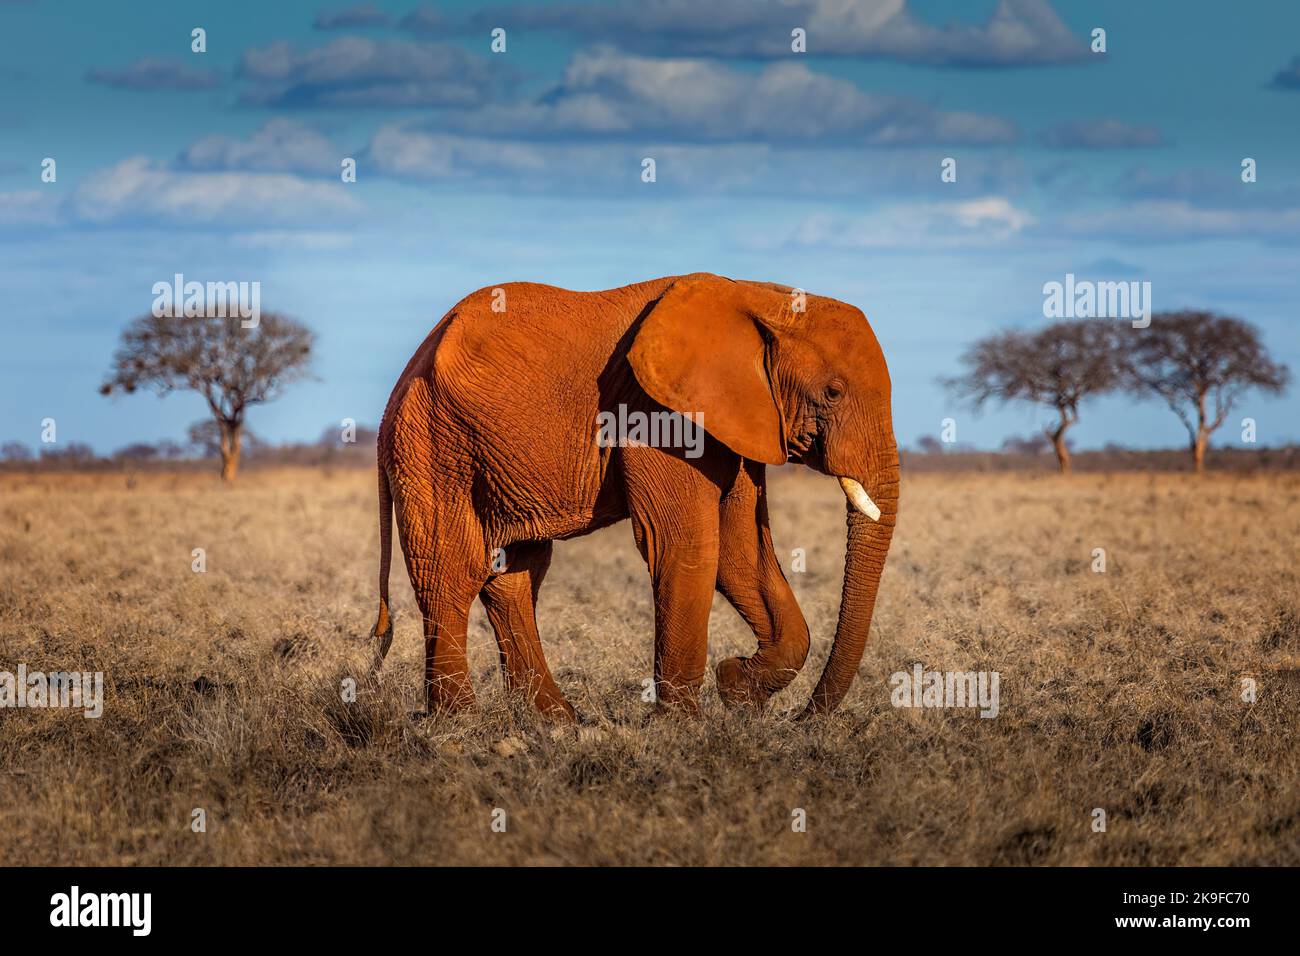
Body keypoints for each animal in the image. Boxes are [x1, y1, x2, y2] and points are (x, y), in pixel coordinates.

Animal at [369, 272, 898, 721]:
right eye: (833, 392)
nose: (802, 719)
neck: (760, 296)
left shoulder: (742, 421)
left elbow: (742, 550)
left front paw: (736, 688)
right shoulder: (657, 414)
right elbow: (686, 543)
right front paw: (686, 725)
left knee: (514, 575)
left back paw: (557, 724)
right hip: (433, 445)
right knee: (450, 574)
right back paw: (460, 723)